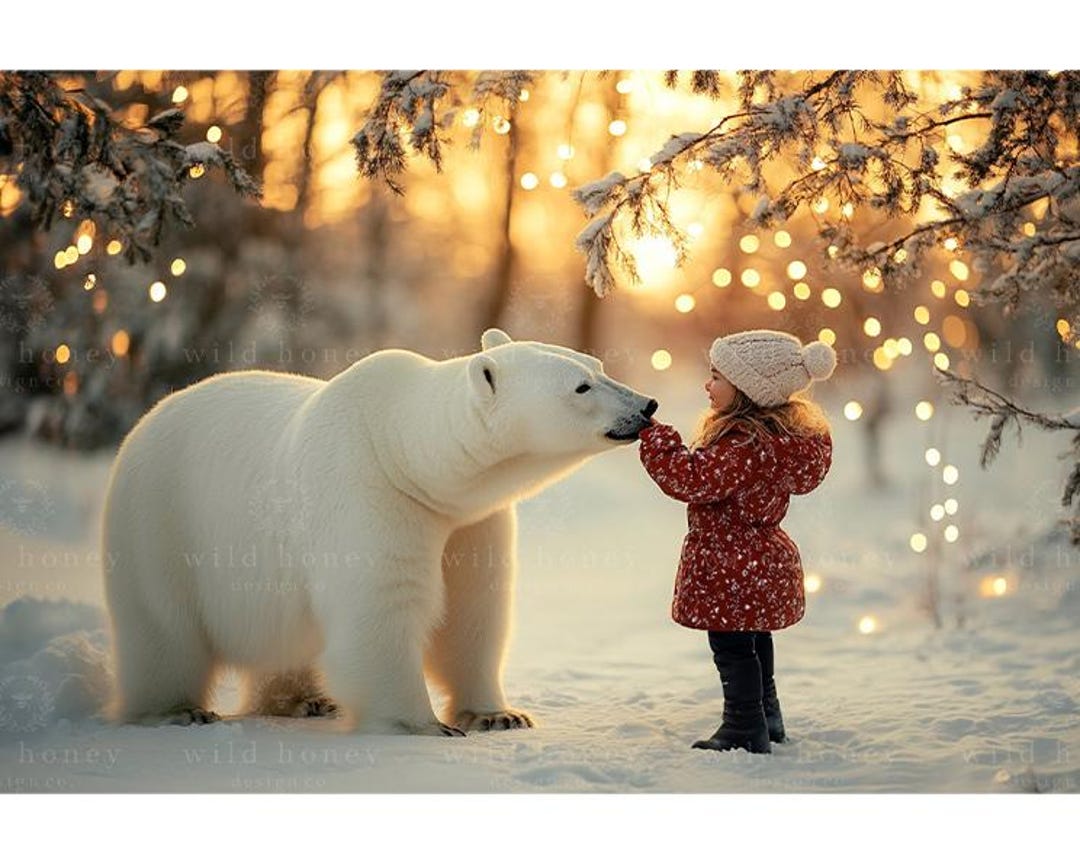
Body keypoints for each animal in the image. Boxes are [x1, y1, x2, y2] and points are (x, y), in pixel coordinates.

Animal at [102, 328, 657, 735]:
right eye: (581, 386)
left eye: (598, 367)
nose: (646, 405)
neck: (404, 453)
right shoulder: (370, 494)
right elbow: (381, 610)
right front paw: (421, 726)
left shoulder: (471, 522)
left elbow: (473, 612)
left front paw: (498, 714)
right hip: (159, 520)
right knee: (163, 627)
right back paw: (177, 709)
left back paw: (304, 700)